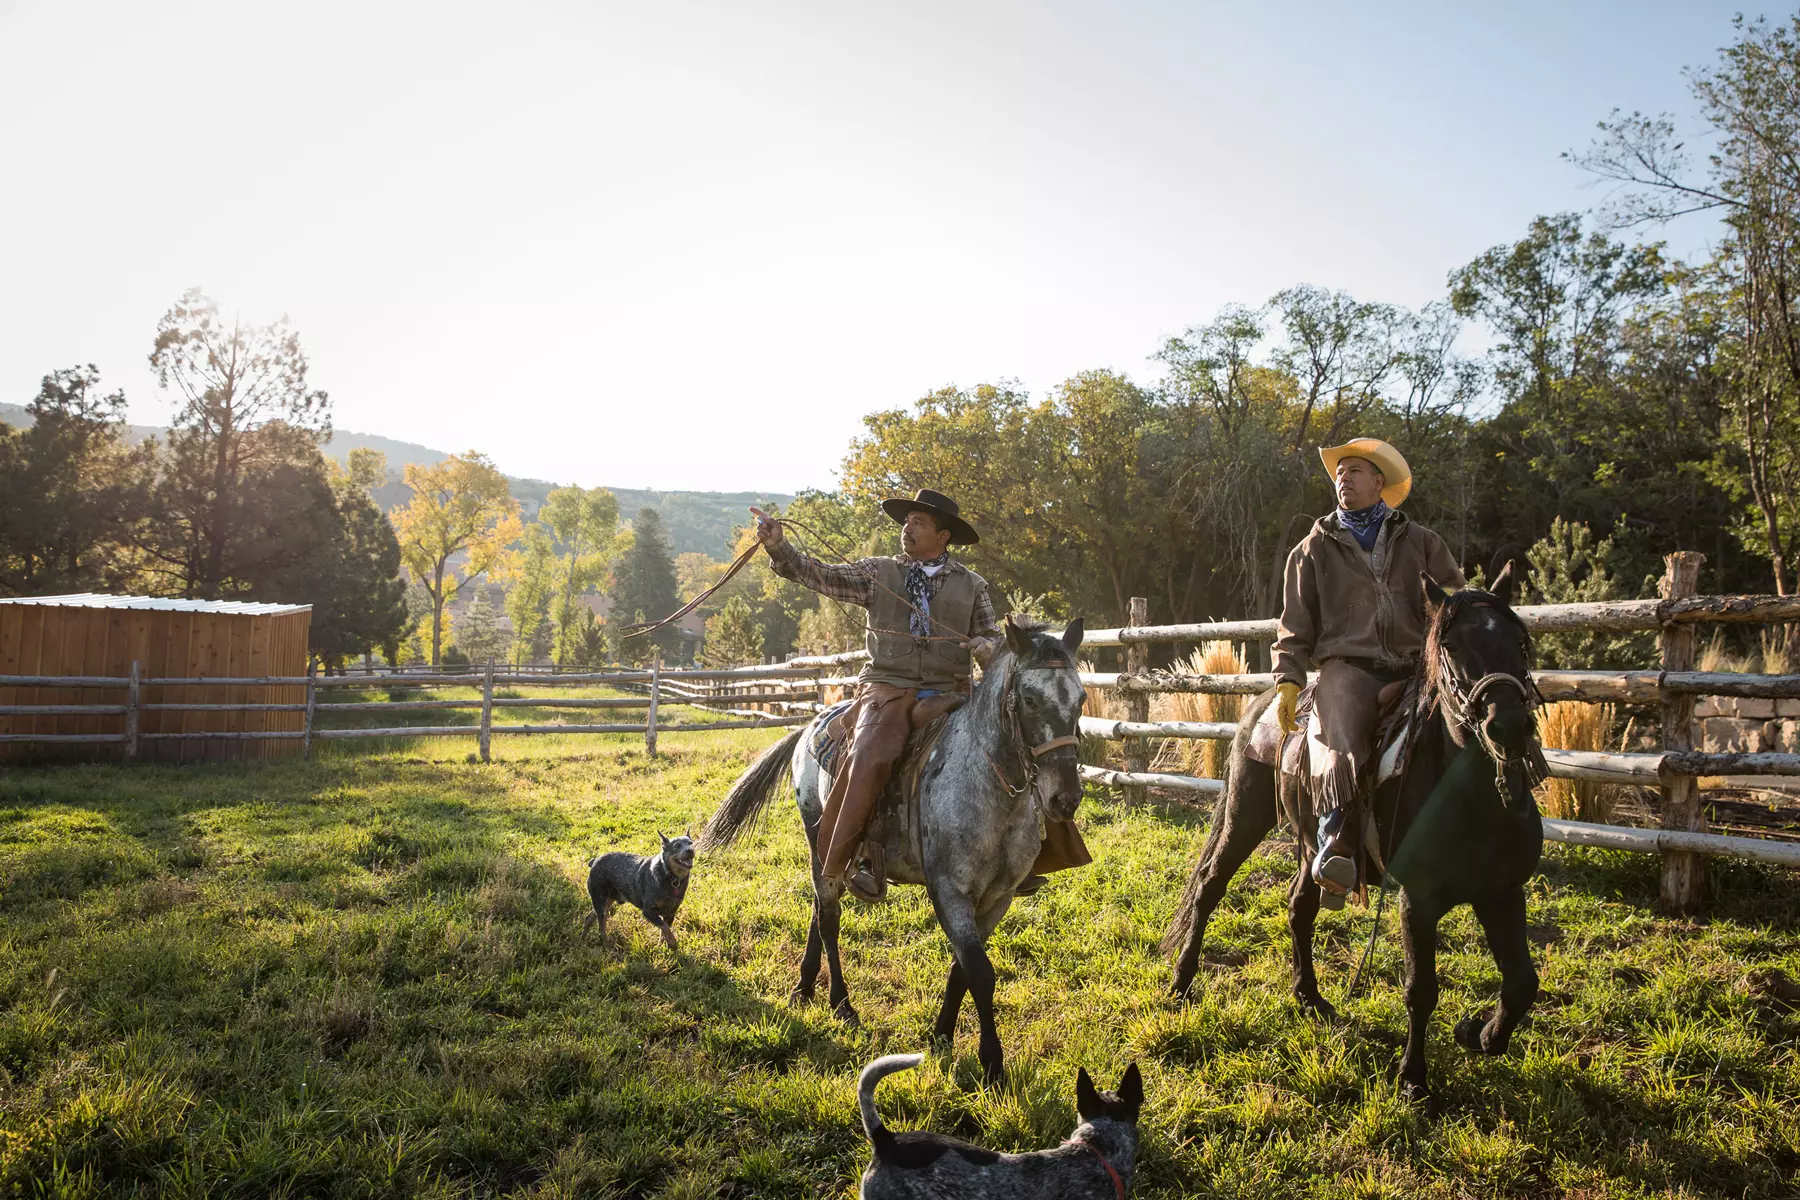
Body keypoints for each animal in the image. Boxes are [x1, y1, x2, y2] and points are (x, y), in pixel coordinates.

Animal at [698, 618, 1080, 1079]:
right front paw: (991, 1063)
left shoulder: (997, 898)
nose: (1065, 798)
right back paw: (841, 1004)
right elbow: (980, 972)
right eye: (1029, 698)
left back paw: (805, 985)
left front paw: (941, 1037)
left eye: (1081, 699)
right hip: (821, 837)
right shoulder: (949, 891)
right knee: (828, 917)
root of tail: (811, 725)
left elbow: (962, 969)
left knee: (817, 908)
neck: (986, 784)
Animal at [1166, 568, 1548, 1101]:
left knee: (1299, 907)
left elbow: (1522, 983)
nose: (1509, 726)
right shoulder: (1417, 901)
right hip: (1244, 817)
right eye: (1451, 647)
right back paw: (1181, 984)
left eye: (1520, 642)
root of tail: (1265, 702)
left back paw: (1309, 997)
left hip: (1313, 845)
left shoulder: (1503, 893)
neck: (1473, 799)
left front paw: (1478, 1033)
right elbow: (1421, 989)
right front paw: (1413, 1079)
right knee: (1209, 889)